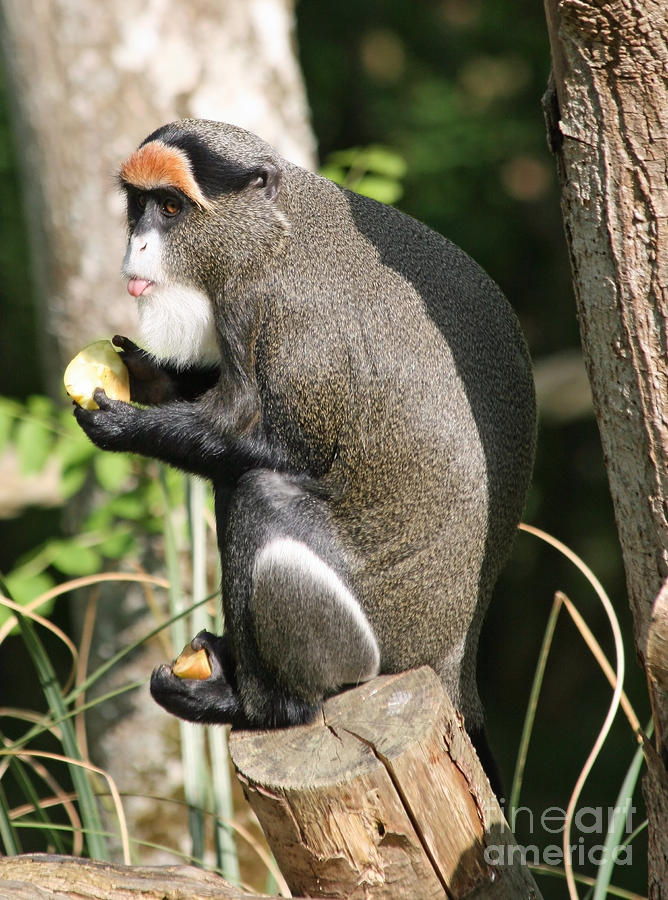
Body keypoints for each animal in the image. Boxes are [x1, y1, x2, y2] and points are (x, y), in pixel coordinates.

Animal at [73, 119, 536, 790]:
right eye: (138, 203)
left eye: (171, 207)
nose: (136, 247)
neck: (273, 235)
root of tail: (455, 659)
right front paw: (146, 377)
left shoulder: (278, 316)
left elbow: (279, 446)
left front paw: (123, 424)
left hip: (381, 639)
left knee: (257, 493)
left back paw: (262, 706)